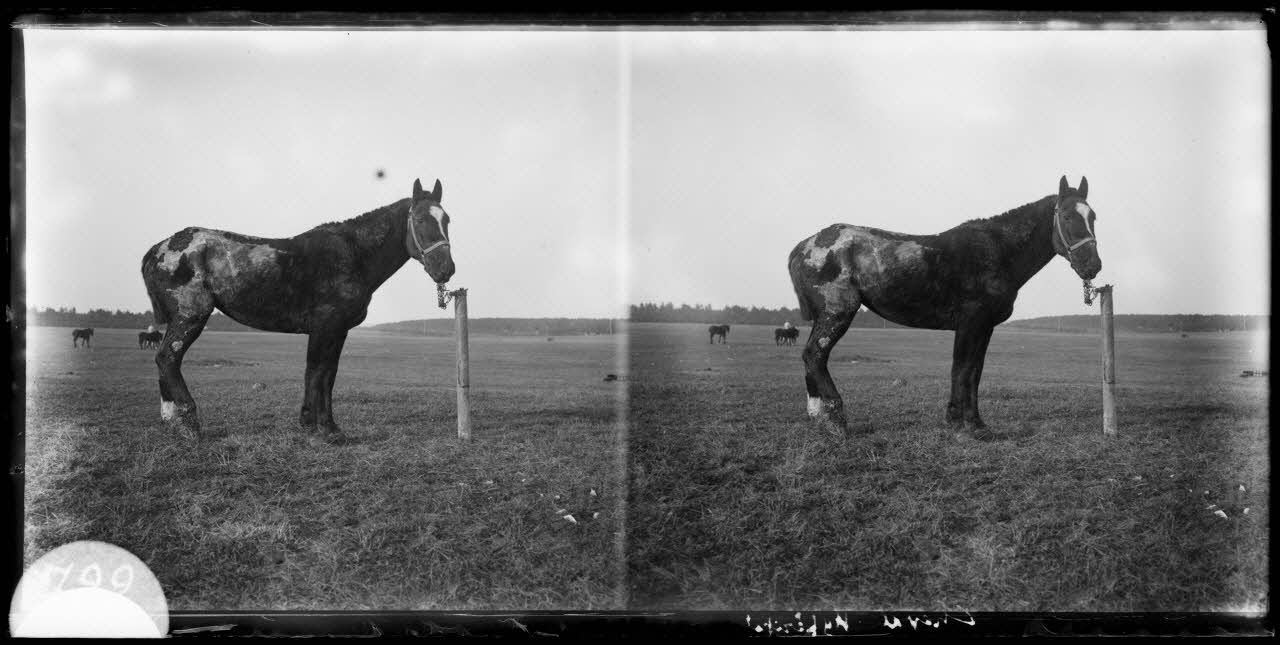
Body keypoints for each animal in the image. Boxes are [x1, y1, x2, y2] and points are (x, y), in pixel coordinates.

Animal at [141, 178, 456, 443]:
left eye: (447, 219)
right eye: (420, 219)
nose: (445, 269)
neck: (353, 255)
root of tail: (156, 250)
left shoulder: (338, 331)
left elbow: (326, 375)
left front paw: (322, 425)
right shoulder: (325, 327)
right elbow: (317, 372)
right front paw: (322, 428)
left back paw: (171, 420)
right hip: (190, 316)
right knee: (167, 358)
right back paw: (188, 424)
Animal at [788, 176, 1101, 436]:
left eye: (1093, 216)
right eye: (1067, 216)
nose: (1092, 265)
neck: (997, 251)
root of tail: (803, 246)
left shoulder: (984, 328)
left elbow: (974, 372)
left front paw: (971, 422)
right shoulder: (971, 323)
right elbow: (962, 370)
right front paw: (965, 425)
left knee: (812, 358)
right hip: (837, 313)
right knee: (815, 355)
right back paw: (834, 420)